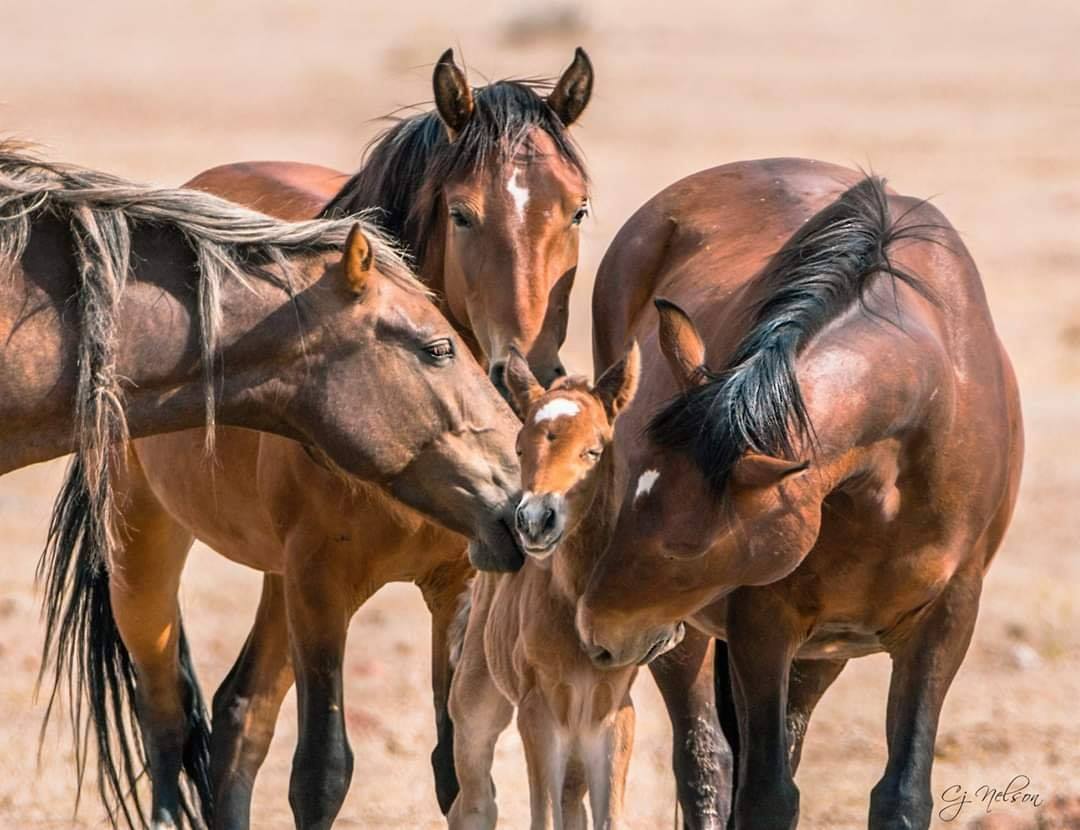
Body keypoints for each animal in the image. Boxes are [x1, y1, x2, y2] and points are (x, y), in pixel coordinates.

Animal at [27, 141, 527, 829]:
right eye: (437, 349)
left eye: (578, 207)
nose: (526, 486)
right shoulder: (320, 586)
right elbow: (321, 773)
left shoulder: (455, 587)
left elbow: (458, 771)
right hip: (143, 550)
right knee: (165, 717)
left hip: (277, 582)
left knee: (239, 715)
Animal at [448, 342, 650, 830]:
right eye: (520, 448)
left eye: (593, 451)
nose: (535, 521)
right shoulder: (537, 711)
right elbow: (541, 817)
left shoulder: (613, 715)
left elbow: (609, 819)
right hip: (476, 701)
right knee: (473, 803)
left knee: (571, 802)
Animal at [575, 161, 1023, 828]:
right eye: (630, 491)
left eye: (688, 545)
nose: (596, 630)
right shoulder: (762, 621)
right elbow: (765, 793)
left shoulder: (946, 619)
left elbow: (901, 794)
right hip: (684, 635)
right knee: (706, 758)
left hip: (816, 652)